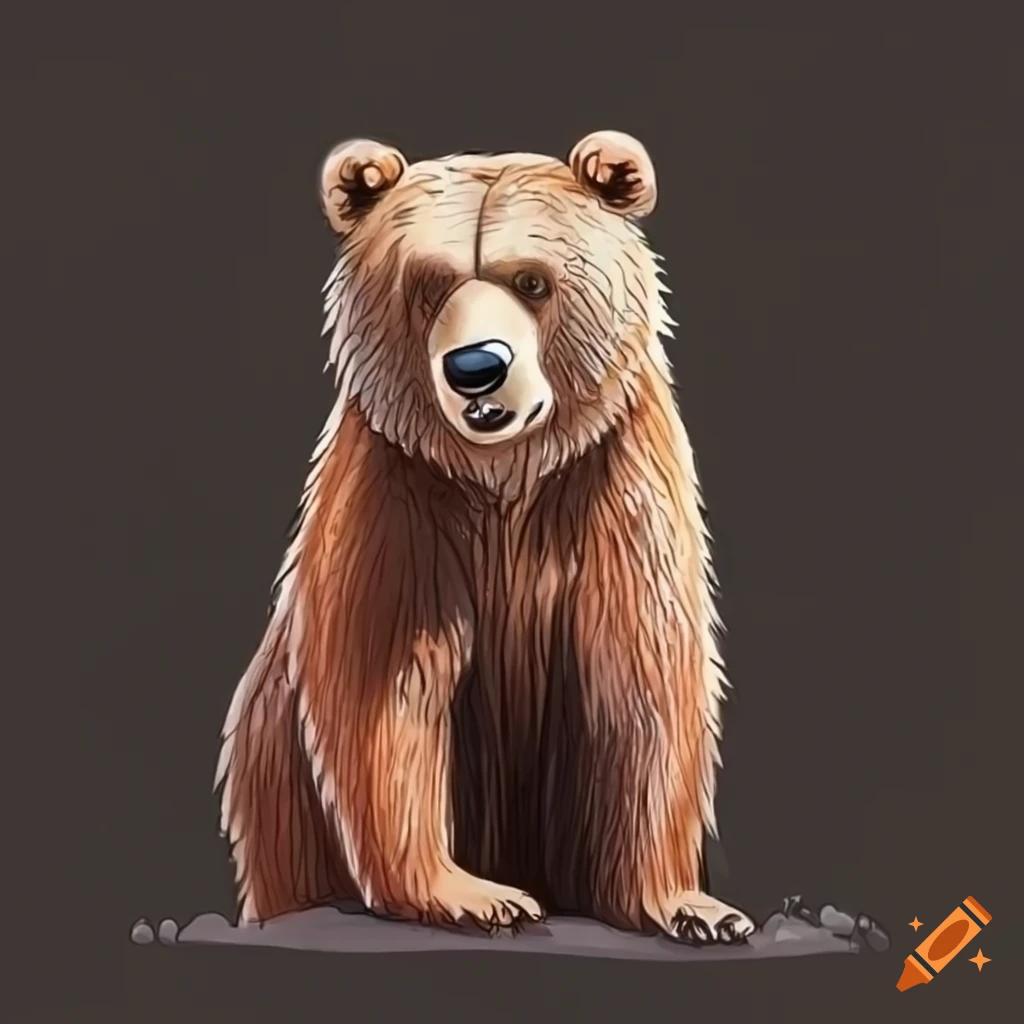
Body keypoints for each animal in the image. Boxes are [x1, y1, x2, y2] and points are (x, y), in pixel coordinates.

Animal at [214, 130, 754, 946]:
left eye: (530, 279)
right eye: (429, 283)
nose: (476, 368)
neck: (505, 484)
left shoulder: (615, 493)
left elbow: (640, 689)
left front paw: (692, 905)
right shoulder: (400, 504)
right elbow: (387, 694)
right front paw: (475, 893)